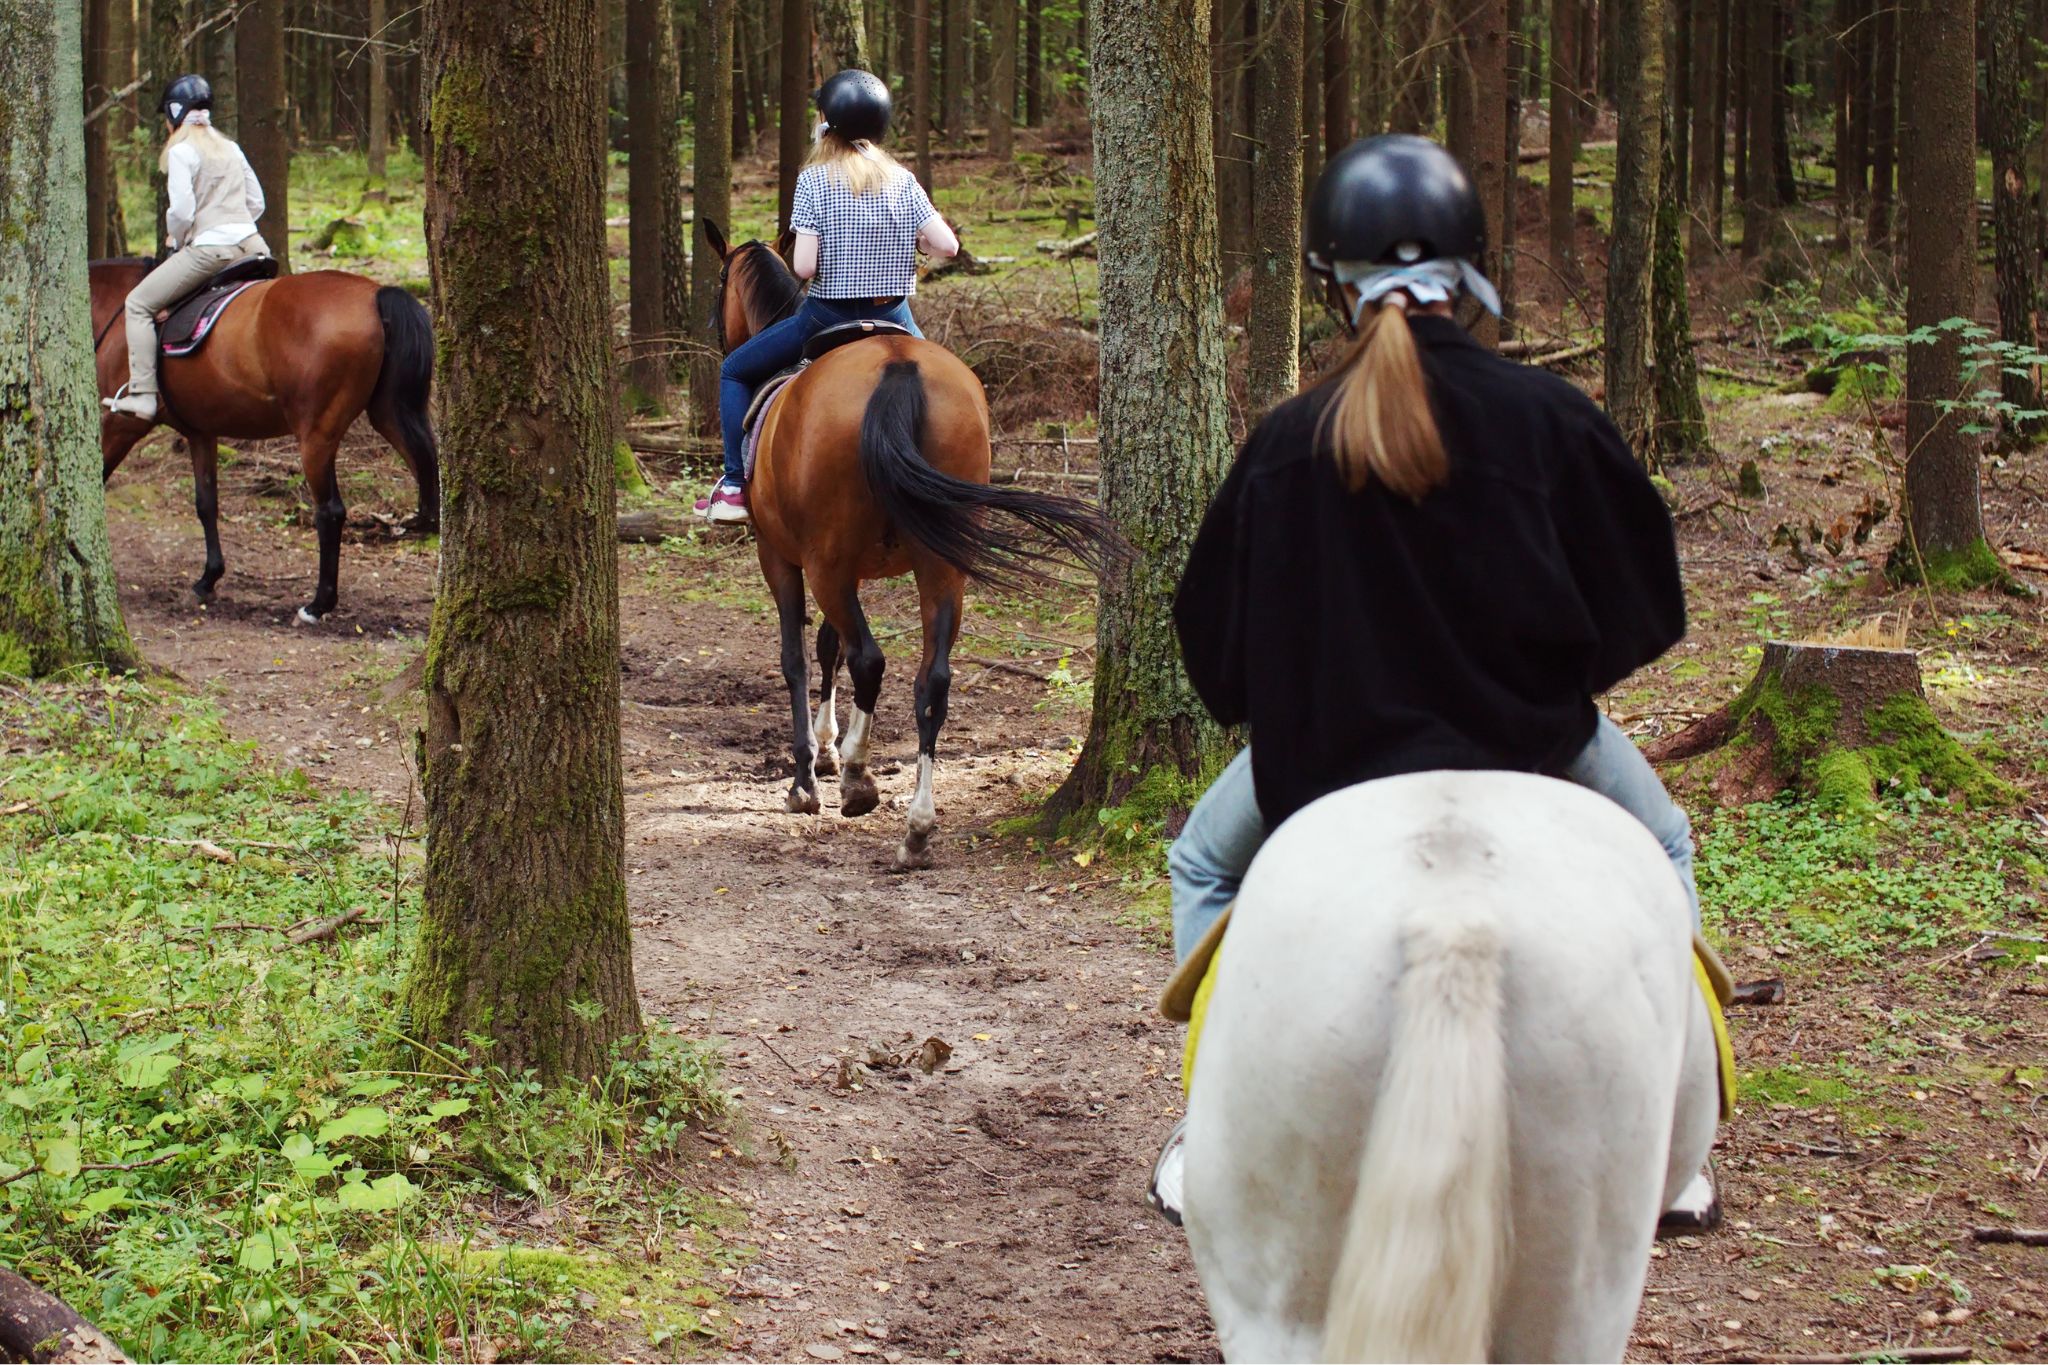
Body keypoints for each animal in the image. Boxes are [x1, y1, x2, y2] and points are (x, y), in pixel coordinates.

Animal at [89, 258, 439, 623]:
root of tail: (375, 293)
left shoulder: (122, 423)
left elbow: (96, 477)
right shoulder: (202, 433)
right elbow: (206, 504)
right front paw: (208, 579)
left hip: (316, 435)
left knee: (330, 512)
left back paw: (317, 605)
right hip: (388, 415)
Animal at [704, 222, 1113, 867]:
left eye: (720, 281)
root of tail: (896, 366)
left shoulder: (785, 557)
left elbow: (799, 656)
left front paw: (808, 776)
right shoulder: (847, 566)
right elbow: (828, 646)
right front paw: (828, 745)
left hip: (828, 563)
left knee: (871, 660)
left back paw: (858, 780)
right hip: (938, 564)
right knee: (932, 679)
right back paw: (916, 826)